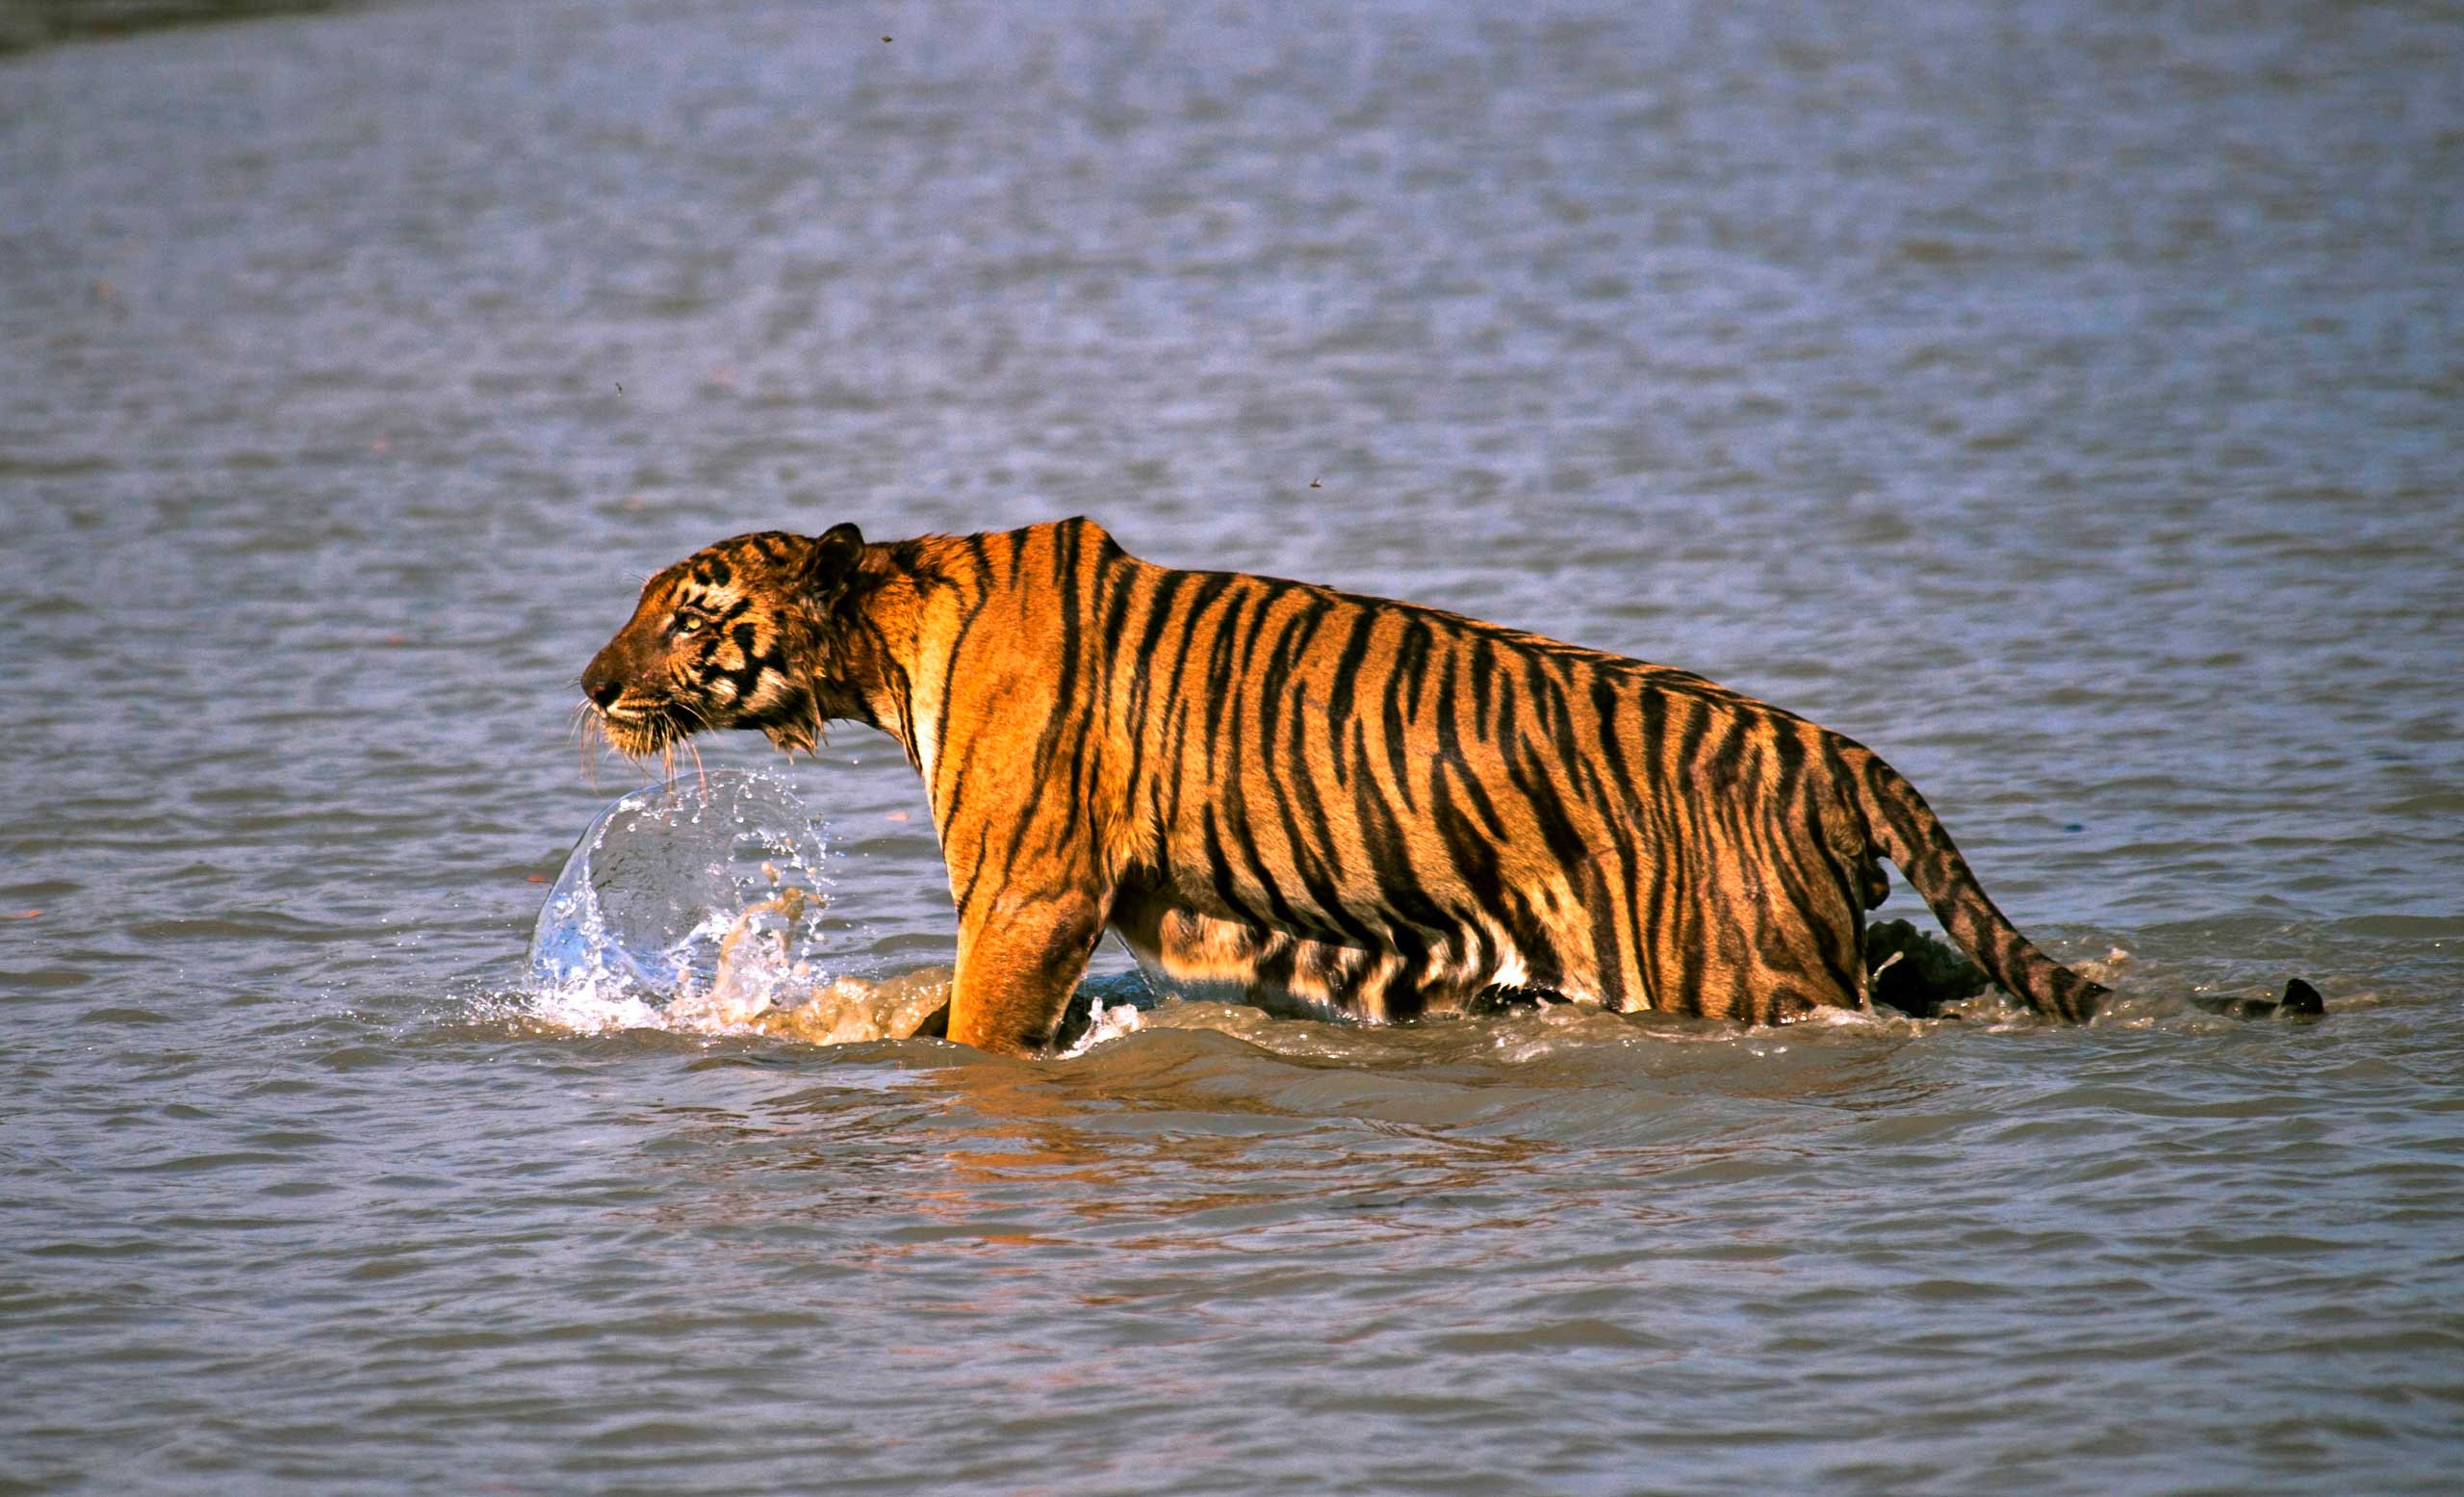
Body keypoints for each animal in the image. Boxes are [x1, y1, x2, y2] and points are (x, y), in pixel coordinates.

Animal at [578, 517, 2318, 1055]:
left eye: (688, 608)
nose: (591, 684)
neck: (887, 637)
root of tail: (1841, 749)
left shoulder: (1028, 892)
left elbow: (971, 1031)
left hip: (1729, 963)